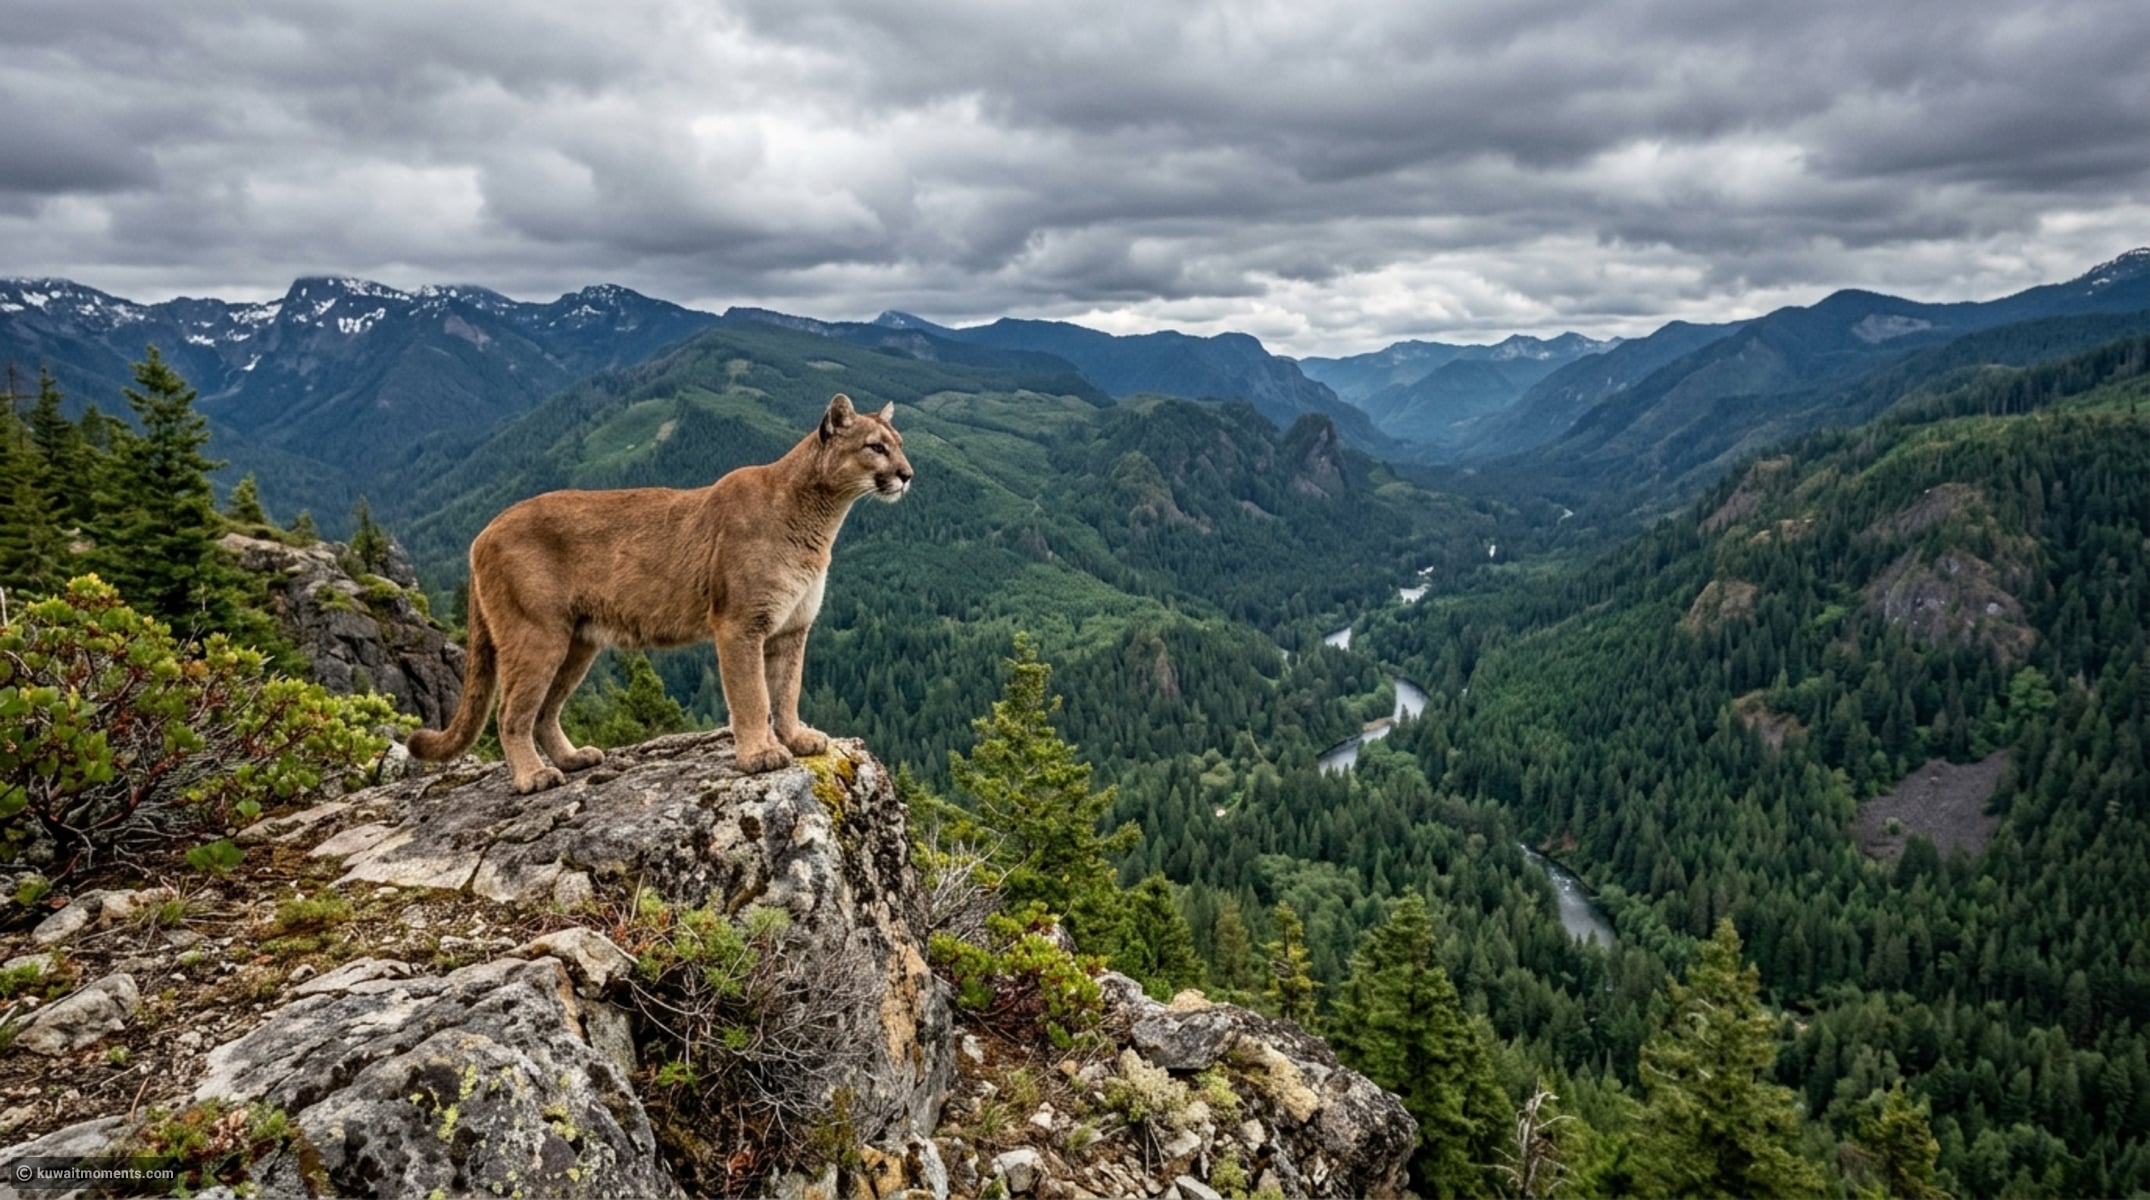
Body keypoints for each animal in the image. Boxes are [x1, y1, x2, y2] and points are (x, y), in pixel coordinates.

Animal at [407, 392, 913, 793]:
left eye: (901, 445)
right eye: (875, 447)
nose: (908, 474)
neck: (818, 515)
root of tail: (484, 530)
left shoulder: (792, 628)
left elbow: (787, 690)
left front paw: (797, 738)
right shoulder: (740, 625)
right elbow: (753, 695)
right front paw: (760, 754)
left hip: (577, 642)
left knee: (546, 709)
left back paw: (572, 758)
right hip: (537, 635)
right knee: (511, 712)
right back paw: (534, 777)